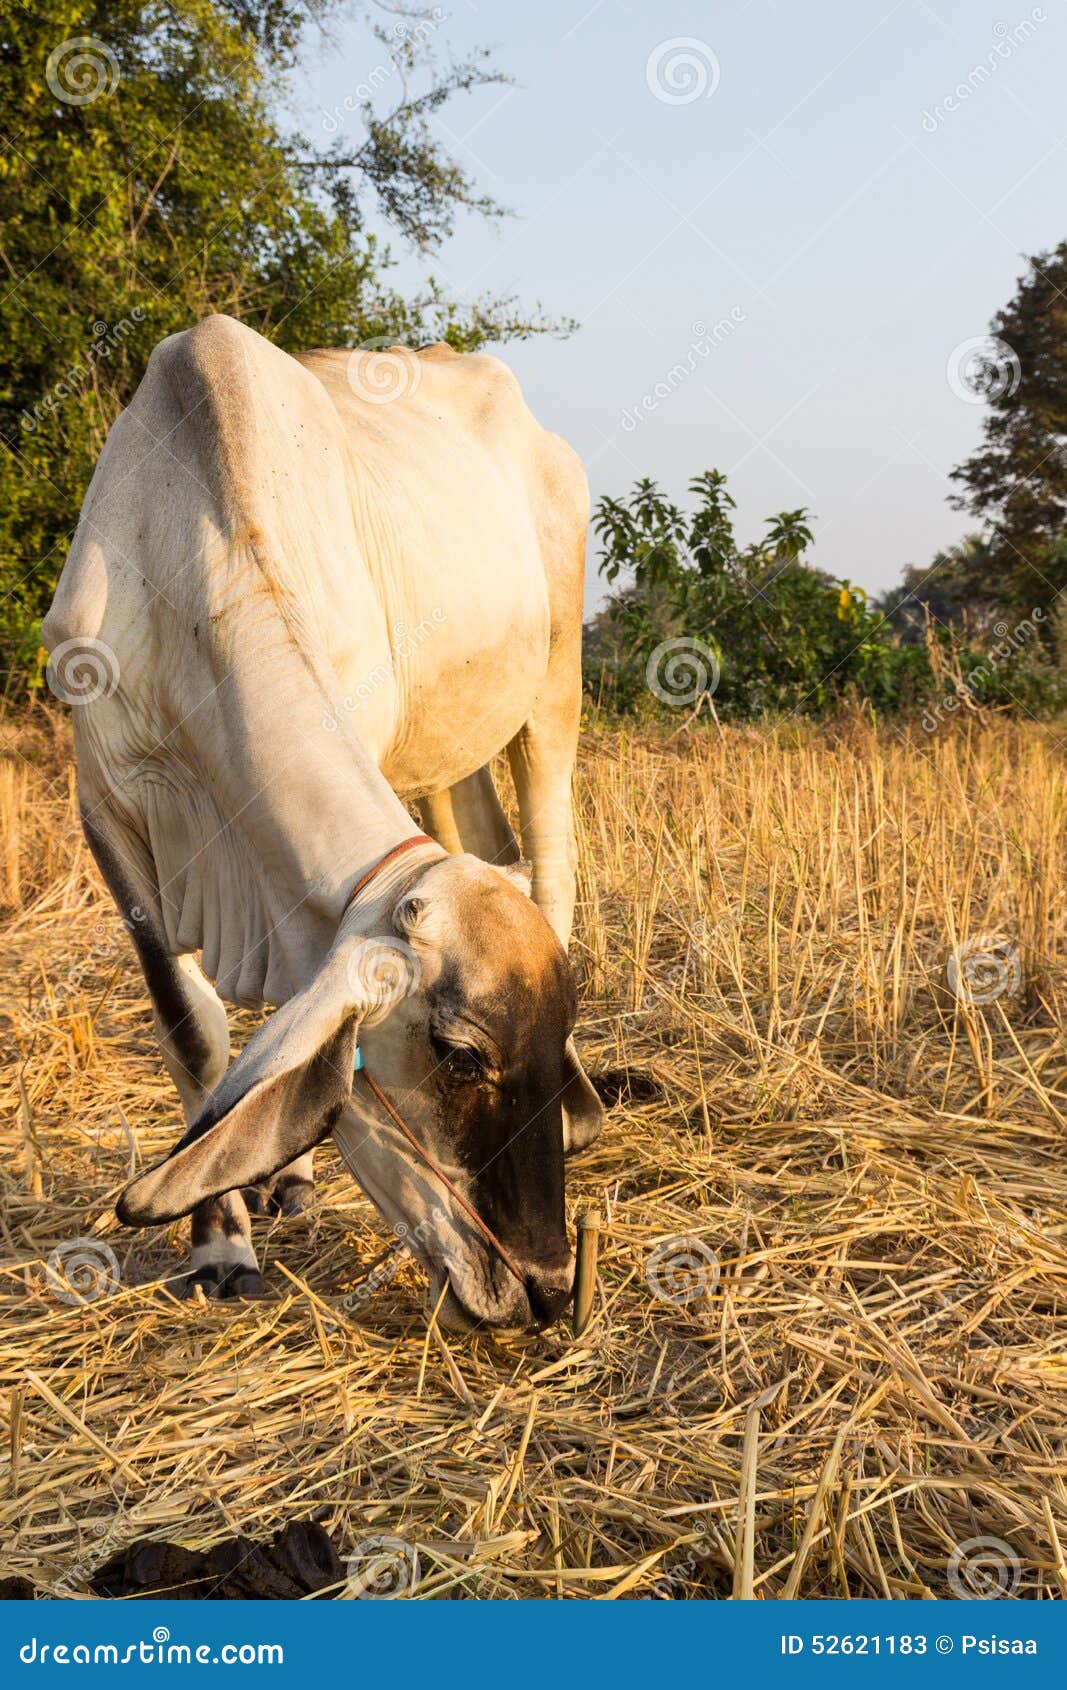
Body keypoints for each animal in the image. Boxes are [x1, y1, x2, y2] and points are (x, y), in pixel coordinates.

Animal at [42, 313, 604, 1333]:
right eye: (458, 1057)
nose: (546, 1288)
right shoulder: (106, 810)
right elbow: (196, 1029)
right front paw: (224, 1241)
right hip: (447, 758)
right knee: (490, 849)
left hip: (552, 692)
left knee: (552, 871)